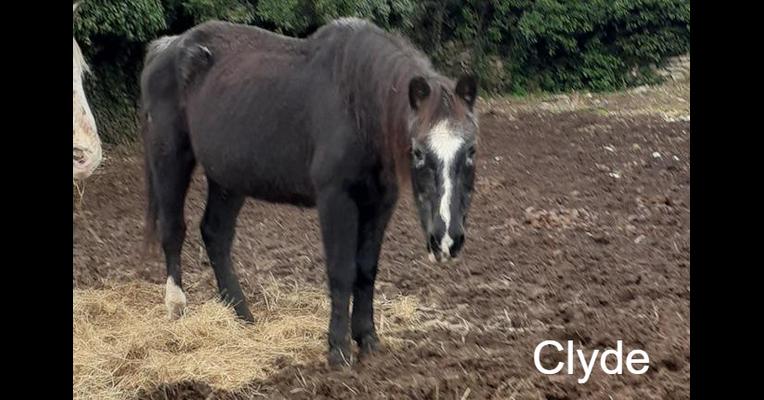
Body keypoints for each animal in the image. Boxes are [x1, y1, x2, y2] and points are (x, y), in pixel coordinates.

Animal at [140, 18, 479, 366]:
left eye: (470, 151)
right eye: (418, 152)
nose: (446, 240)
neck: (358, 105)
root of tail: (166, 47)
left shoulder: (381, 203)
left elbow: (366, 269)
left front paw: (367, 338)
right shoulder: (335, 199)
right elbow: (342, 270)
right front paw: (338, 348)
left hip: (228, 178)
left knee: (215, 234)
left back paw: (241, 314)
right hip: (171, 157)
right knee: (173, 230)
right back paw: (177, 308)